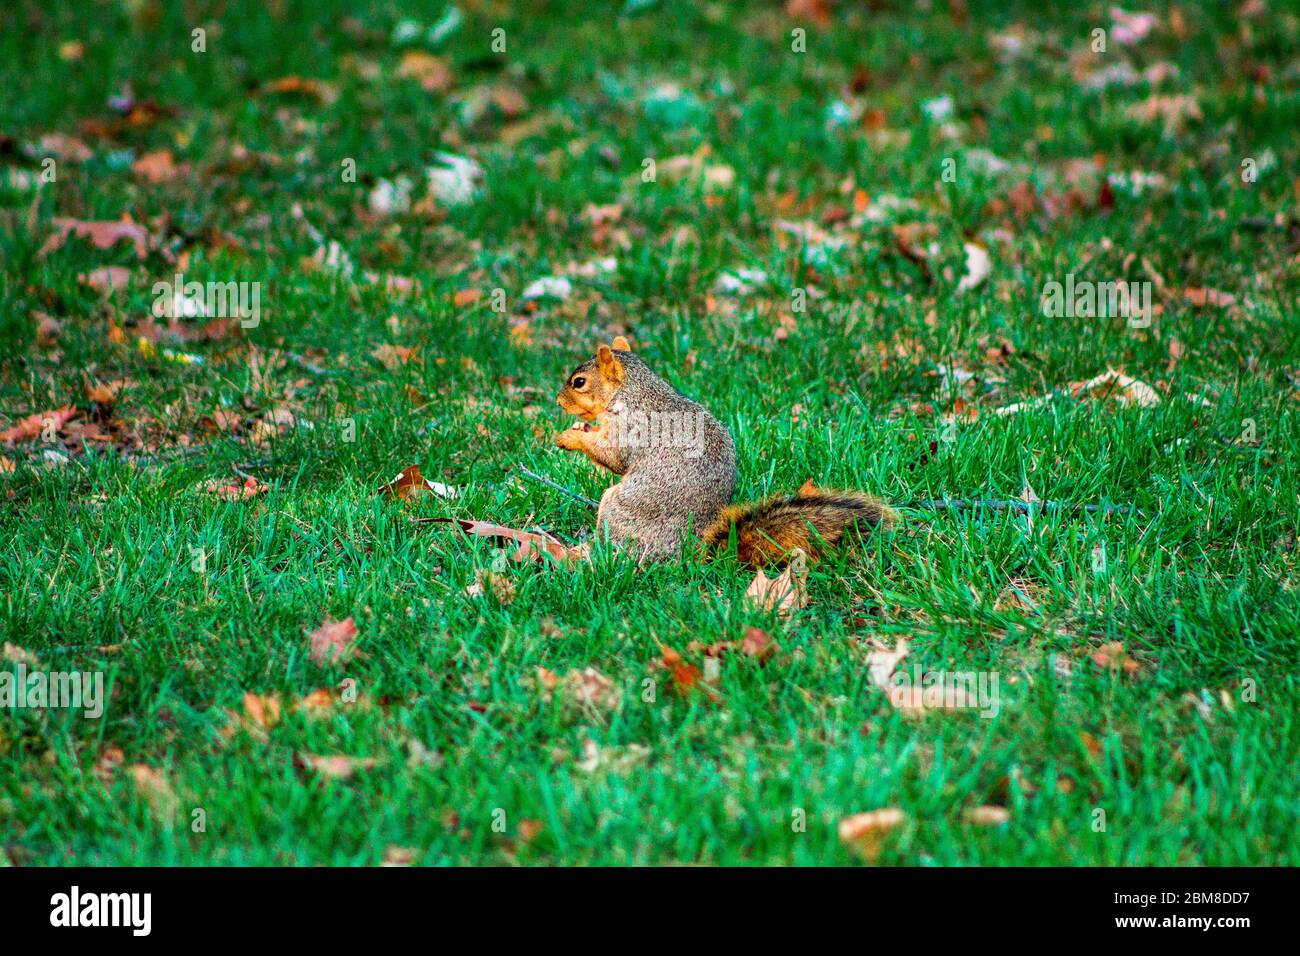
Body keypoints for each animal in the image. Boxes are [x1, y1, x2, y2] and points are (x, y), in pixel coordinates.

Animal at [554, 337, 895, 566]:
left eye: (579, 382)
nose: (557, 401)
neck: (632, 392)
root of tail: (693, 547)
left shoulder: (631, 429)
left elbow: (612, 455)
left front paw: (570, 437)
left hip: (619, 510)